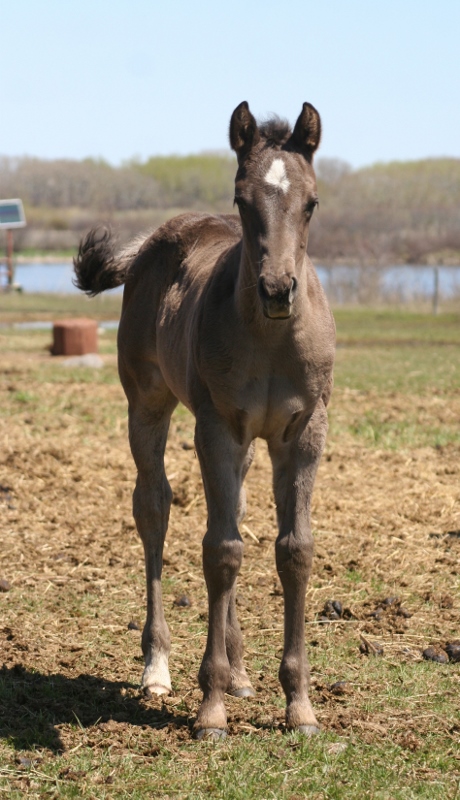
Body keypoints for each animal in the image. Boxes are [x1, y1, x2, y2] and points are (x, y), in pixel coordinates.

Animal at [74, 101, 336, 740]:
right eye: (242, 200)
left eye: (312, 202)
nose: (277, 290)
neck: (271, 340)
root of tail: (152, 242)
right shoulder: (215, 427)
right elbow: (220, 551)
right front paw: (210, 707)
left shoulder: (304, 432)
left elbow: (293, 549)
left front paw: (299, 706)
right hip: (148, 404)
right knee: (154, 508)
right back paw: (158, 668)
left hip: (245, 442)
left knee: (234, 513)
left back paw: (241, 673)